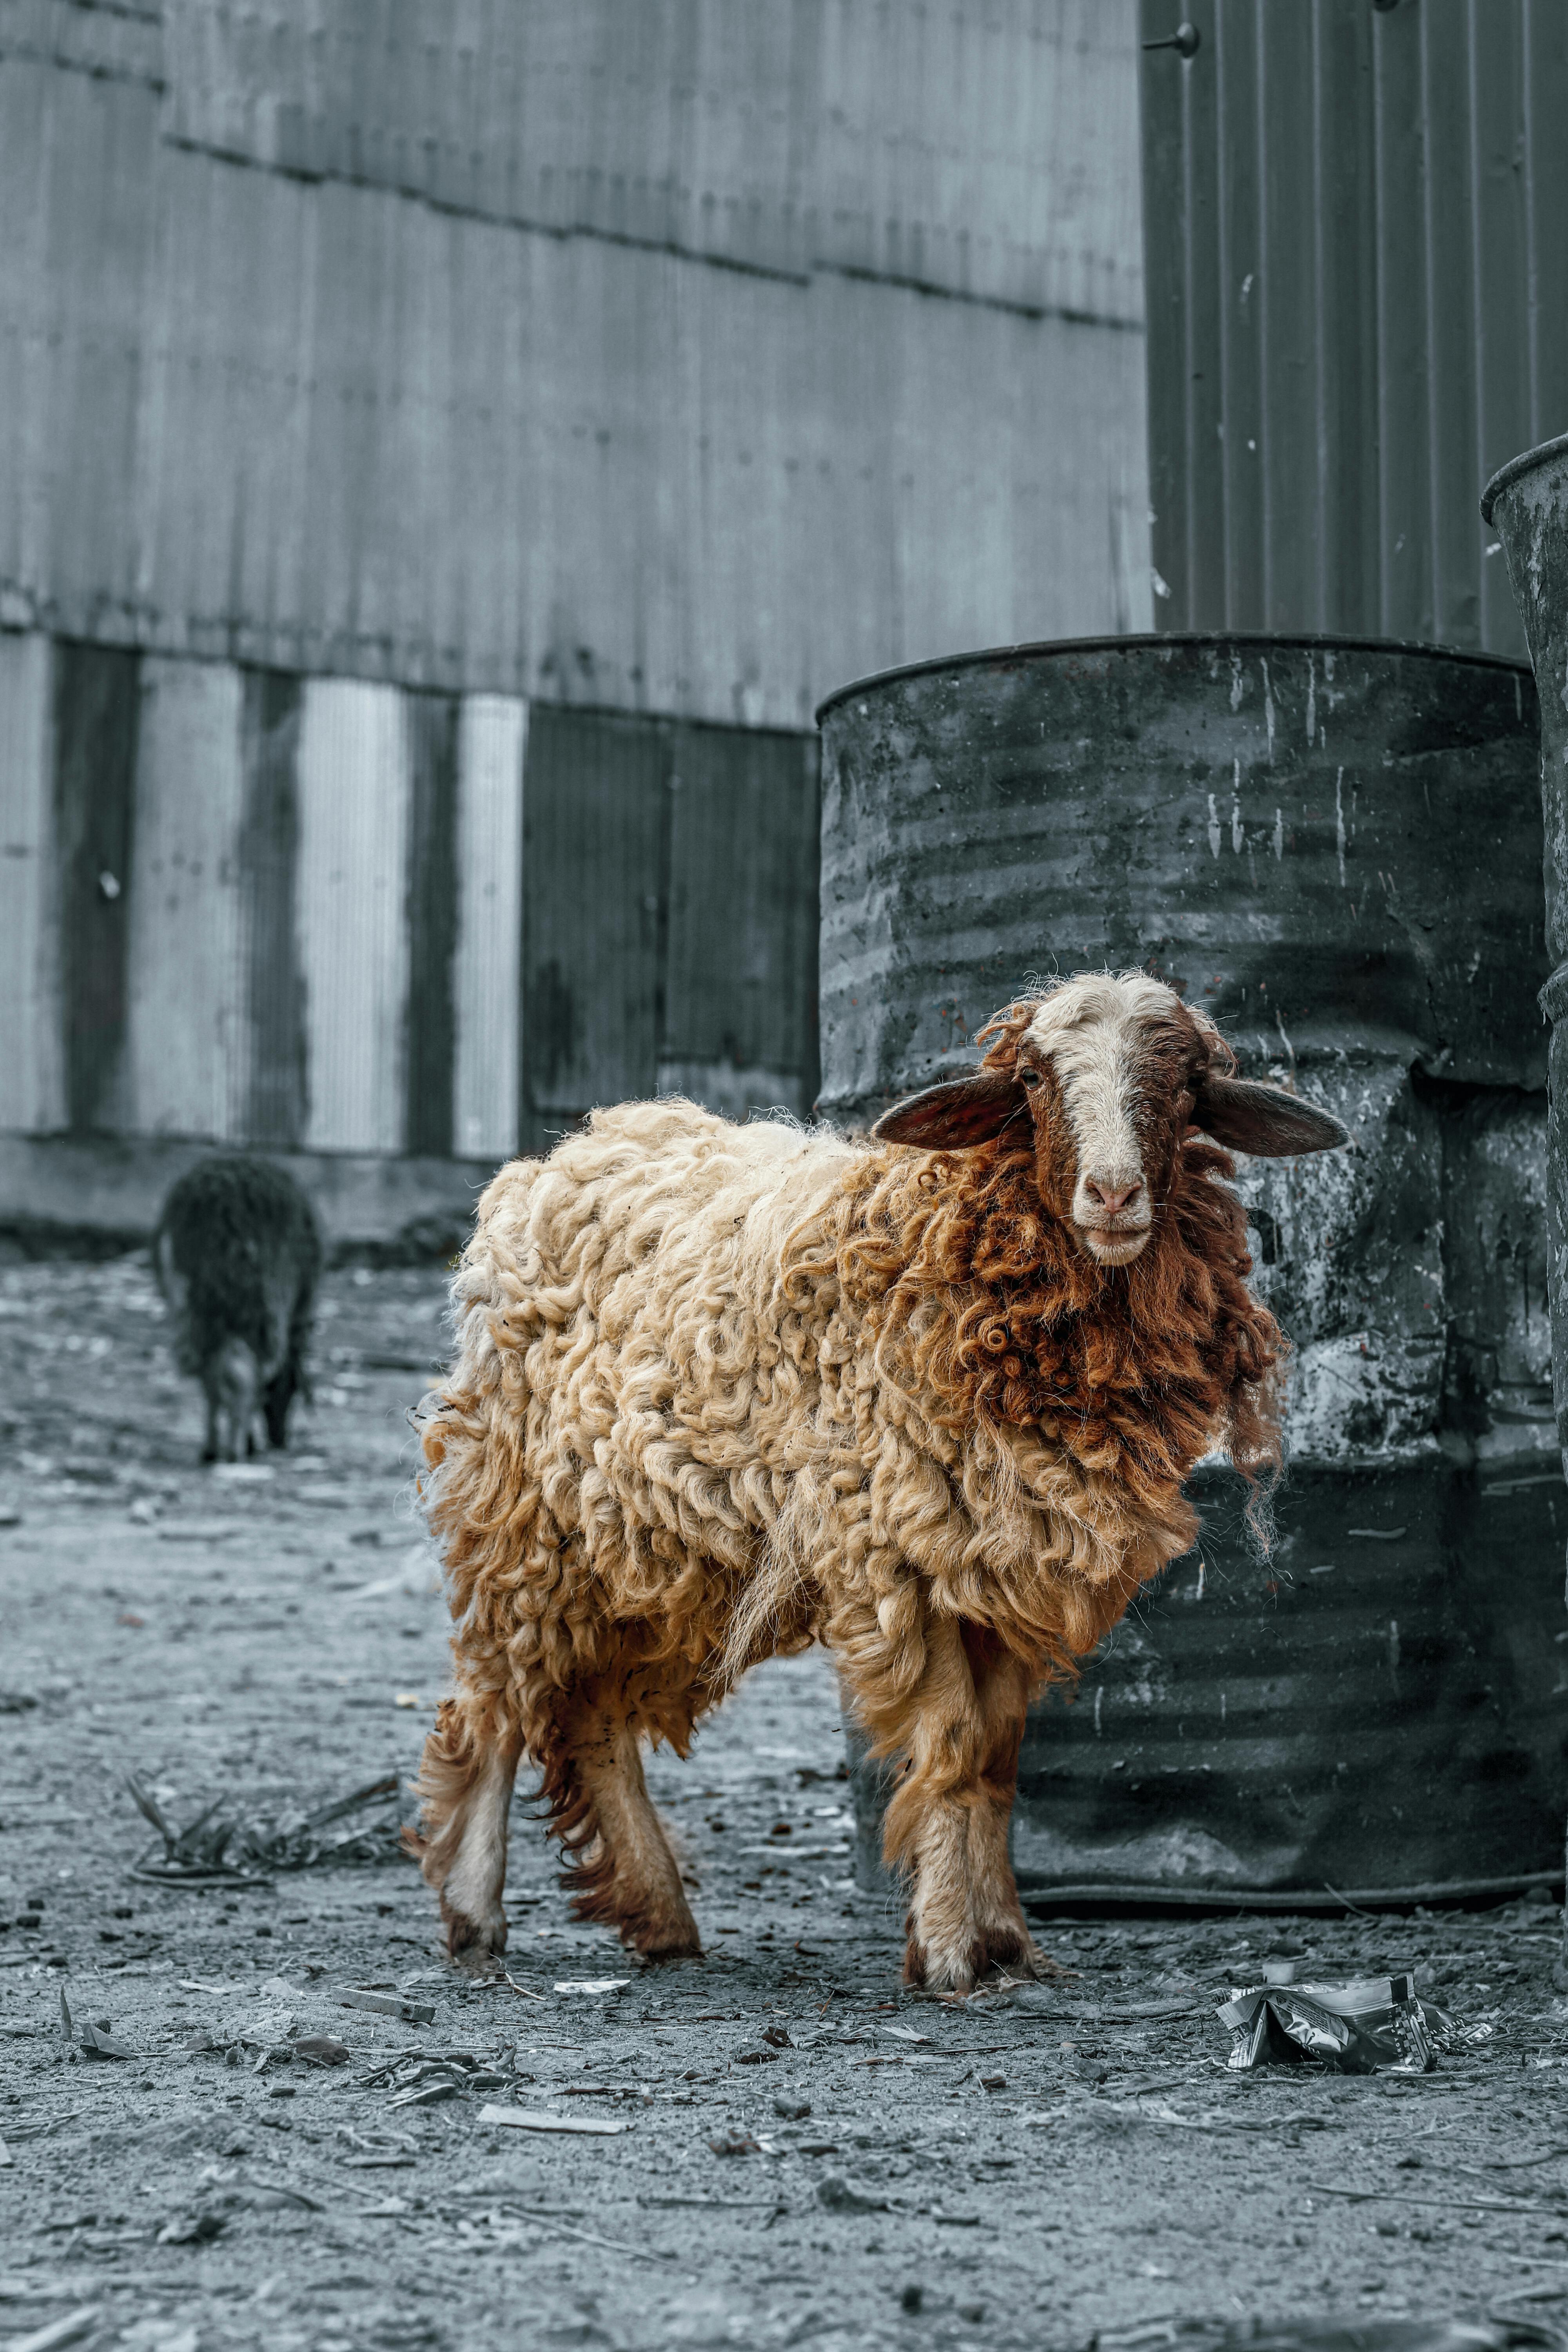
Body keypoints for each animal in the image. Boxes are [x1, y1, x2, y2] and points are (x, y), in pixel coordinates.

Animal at [154, 1155, 322, 1463]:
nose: (279, 1440)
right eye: (291, 1390)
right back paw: (236, 1450)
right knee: (243, 1371)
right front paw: (250, 1440)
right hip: (259, 1294)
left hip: (194, 1304)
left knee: (211, 1374)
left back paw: (213, 1447)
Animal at [410, 971, 1346, 1992]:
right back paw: (475, 1914)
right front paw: (946, 1949)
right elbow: (950, 1743)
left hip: (659, 1546)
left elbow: (995, 1758)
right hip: (524, 1513)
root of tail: (565, 1154)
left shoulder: (1001, 1563)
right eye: (1031, 1079)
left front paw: (1007, 1940)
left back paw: (661, 1915)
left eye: (1182, 1086)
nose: (1111, 1193)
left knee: (595, 1717)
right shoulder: (899, 1551)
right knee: (492, 1696)